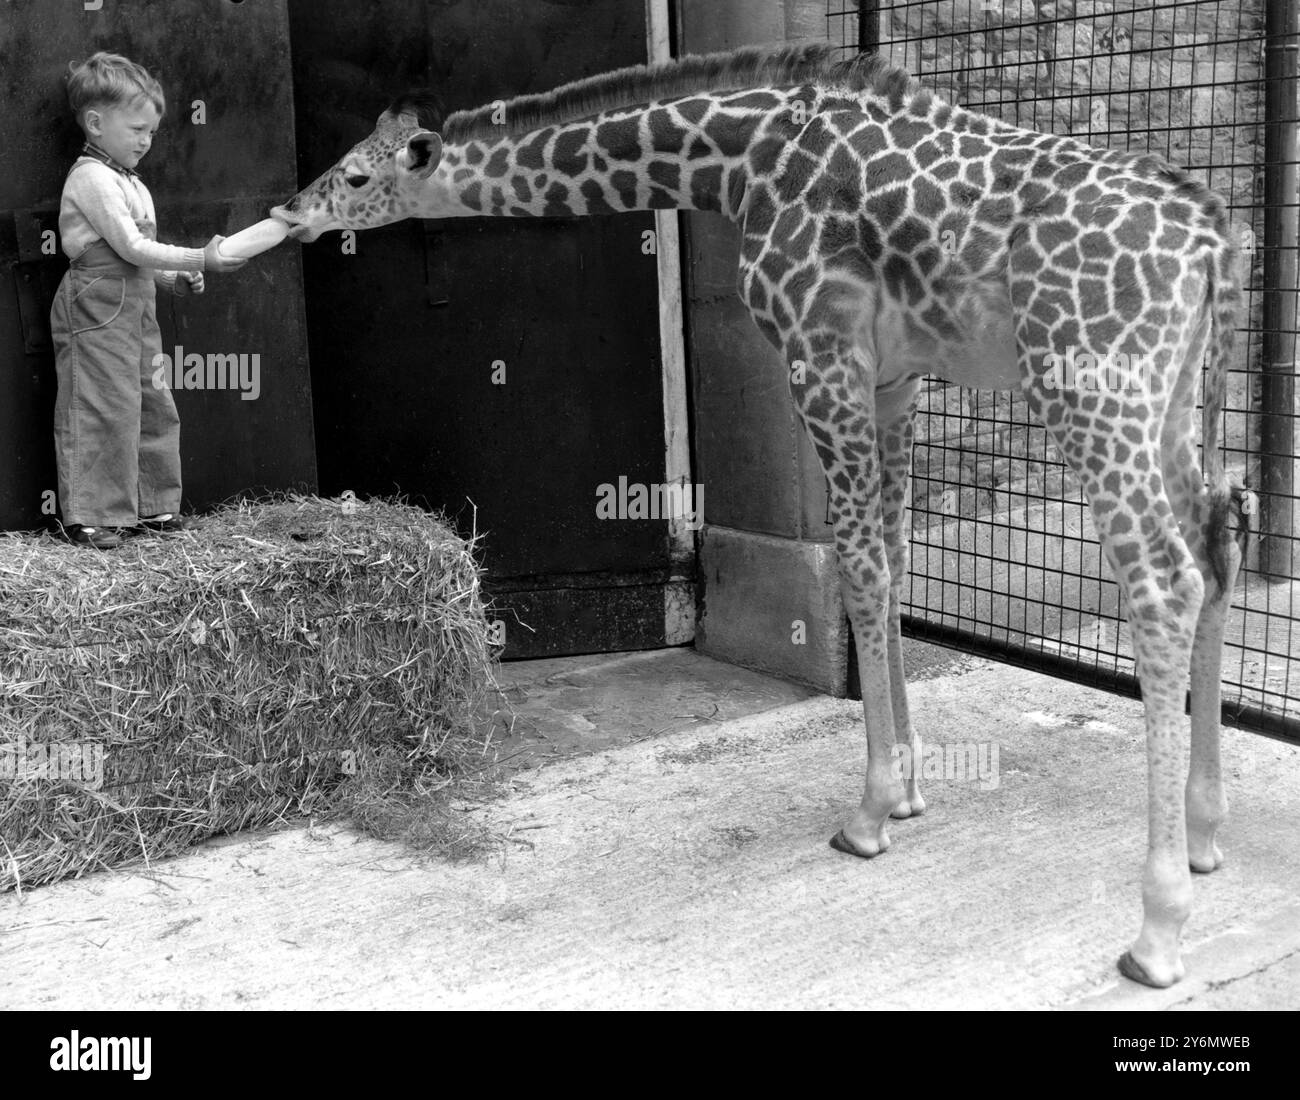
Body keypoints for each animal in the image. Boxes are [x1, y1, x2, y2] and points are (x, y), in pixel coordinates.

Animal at [271, 43, 1248, 988]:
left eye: (355, 176)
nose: (290, 213)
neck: (741, 162)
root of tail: (1212, 241)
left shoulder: (822, 356)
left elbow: (858, 570)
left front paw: (868, 814)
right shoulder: (894, 379)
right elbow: (892, 563)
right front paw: (909, 789)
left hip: (1088, 385)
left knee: (1163, 581)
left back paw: (1158, 932)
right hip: (1172, 396)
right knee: (1216, 540)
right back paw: (1204, 835)